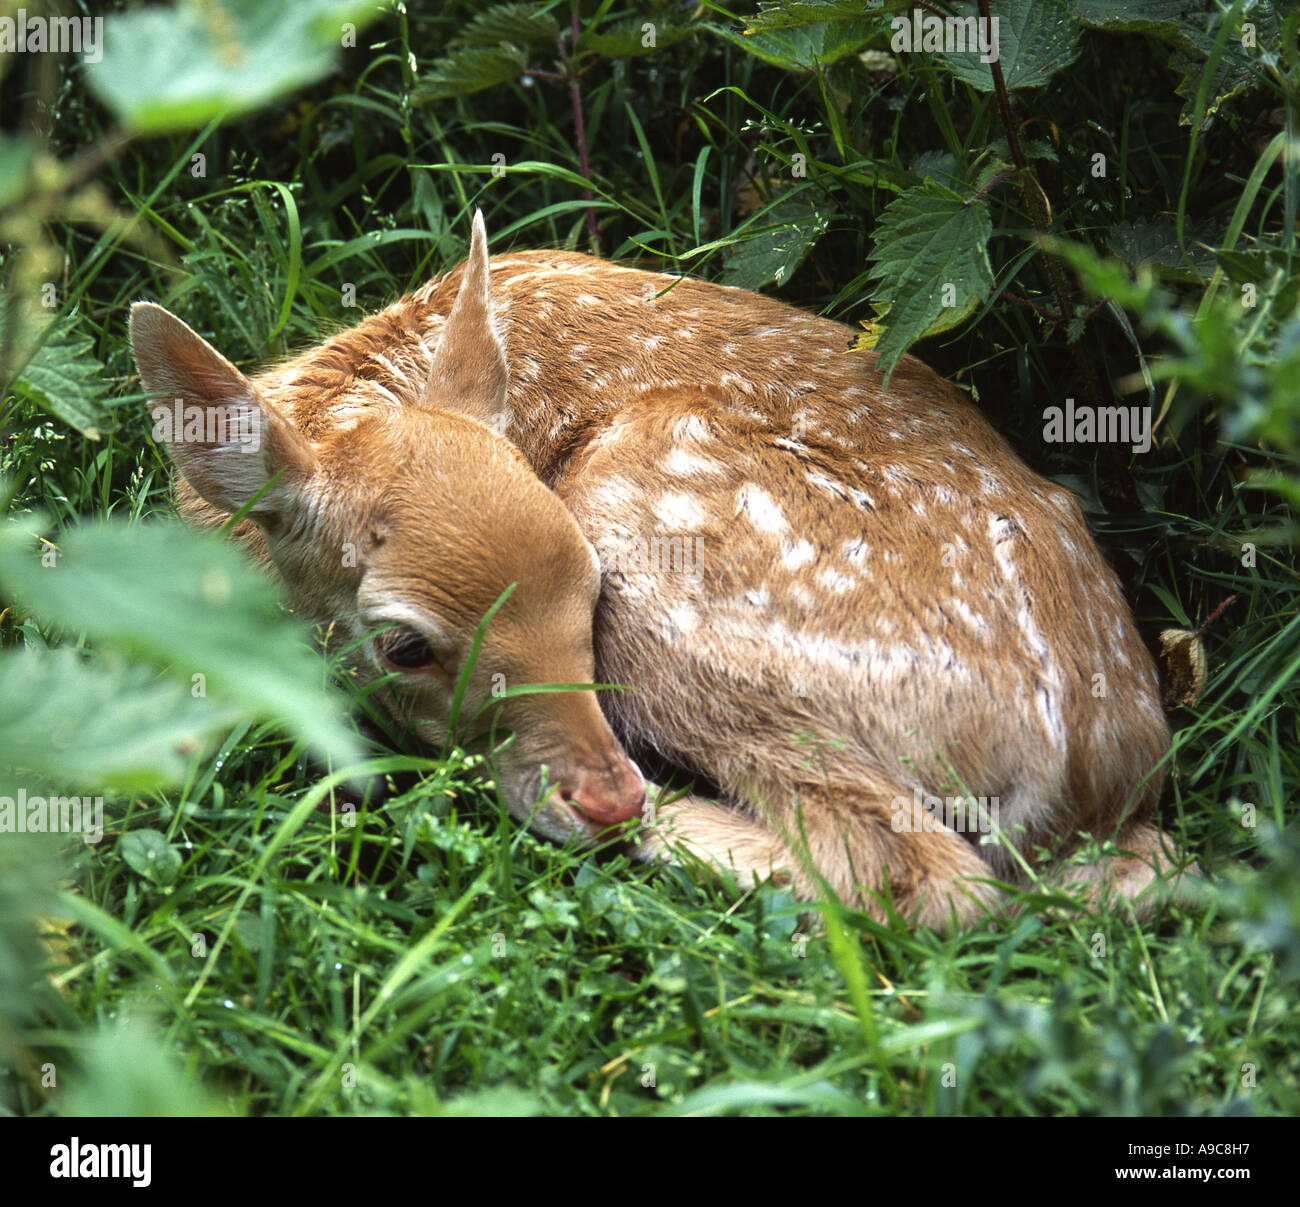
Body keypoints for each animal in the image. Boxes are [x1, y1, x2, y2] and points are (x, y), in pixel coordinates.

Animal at [129, 211, 1194, 930]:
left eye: (589, 588)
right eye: (403, 647)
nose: (606, 796)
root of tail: (1098, 761)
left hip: (668, 537)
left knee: (932, 876)